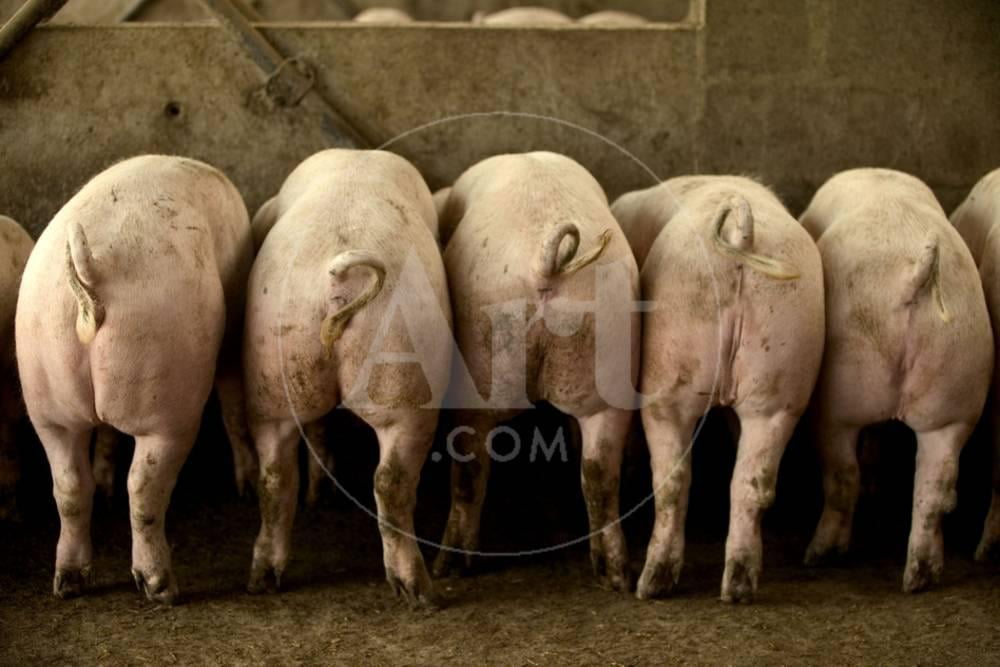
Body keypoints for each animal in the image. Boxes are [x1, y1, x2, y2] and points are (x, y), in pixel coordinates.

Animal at [15, 155, 253, 603]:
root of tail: (91, 276)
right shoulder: (232, 338)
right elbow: (232, 399)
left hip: (44, 388)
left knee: (69, 487)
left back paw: (68, 582)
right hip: (167, 396)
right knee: (144, 488)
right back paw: (162, 589)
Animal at [244, 149, 450, 606]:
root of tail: (337, 279)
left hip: (273, 370)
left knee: (275, 477)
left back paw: (263, 579)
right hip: (406, 373)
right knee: (390, 481)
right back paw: (420, 593)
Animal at [432, 152, 640, 591]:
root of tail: (546, 264)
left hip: (479, 366)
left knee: (469, 470)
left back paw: (450, 567)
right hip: (608, 356)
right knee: (598, 472)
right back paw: (615, 577)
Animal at [612, 176, 824, 602]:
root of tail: (739, 232)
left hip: (669, 356)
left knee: (672, 480)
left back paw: (651, 586)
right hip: (782, 370)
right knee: (753, 483)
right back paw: (737, 589)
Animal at [800, 168, 992, 592]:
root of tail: (914, 278)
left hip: (841, 394)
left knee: (843, 476)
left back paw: (818, 555)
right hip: (957, 387)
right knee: (935, 487)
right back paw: (919, 578)